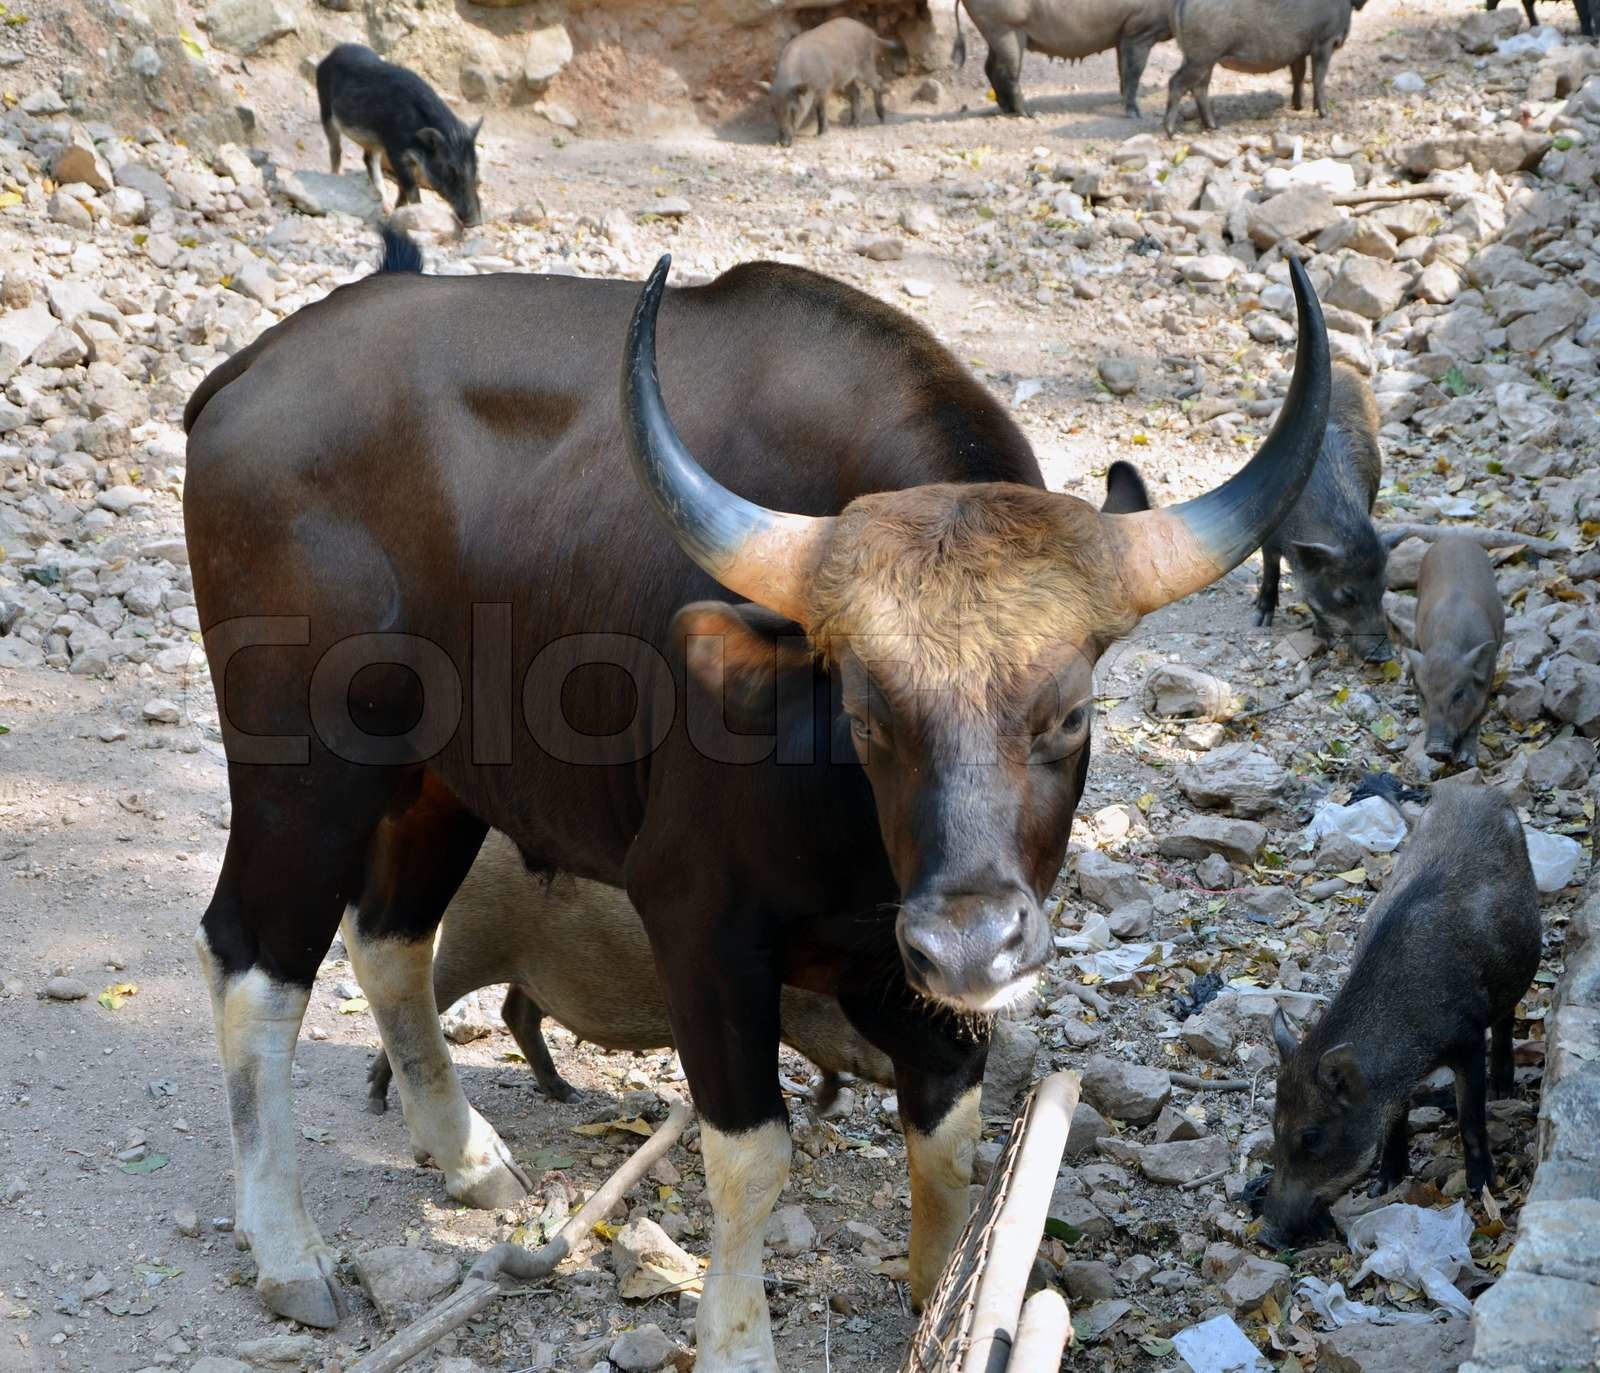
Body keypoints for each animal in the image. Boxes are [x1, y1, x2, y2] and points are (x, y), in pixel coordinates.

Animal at [182, 233, 1328, 1370]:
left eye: (1071, 712)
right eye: (864, 709)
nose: (969, 941)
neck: (859, 847)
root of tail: (246, 378)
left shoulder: (916, 981)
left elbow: (950, 1136)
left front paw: (945, 1296)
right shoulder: (698, 919)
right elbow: (751, 1149)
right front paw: (736, 1337)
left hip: (441, 778)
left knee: (389, 938)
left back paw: (468, 1159)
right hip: (303, 772)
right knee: (254, 958)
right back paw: (288, 1248)